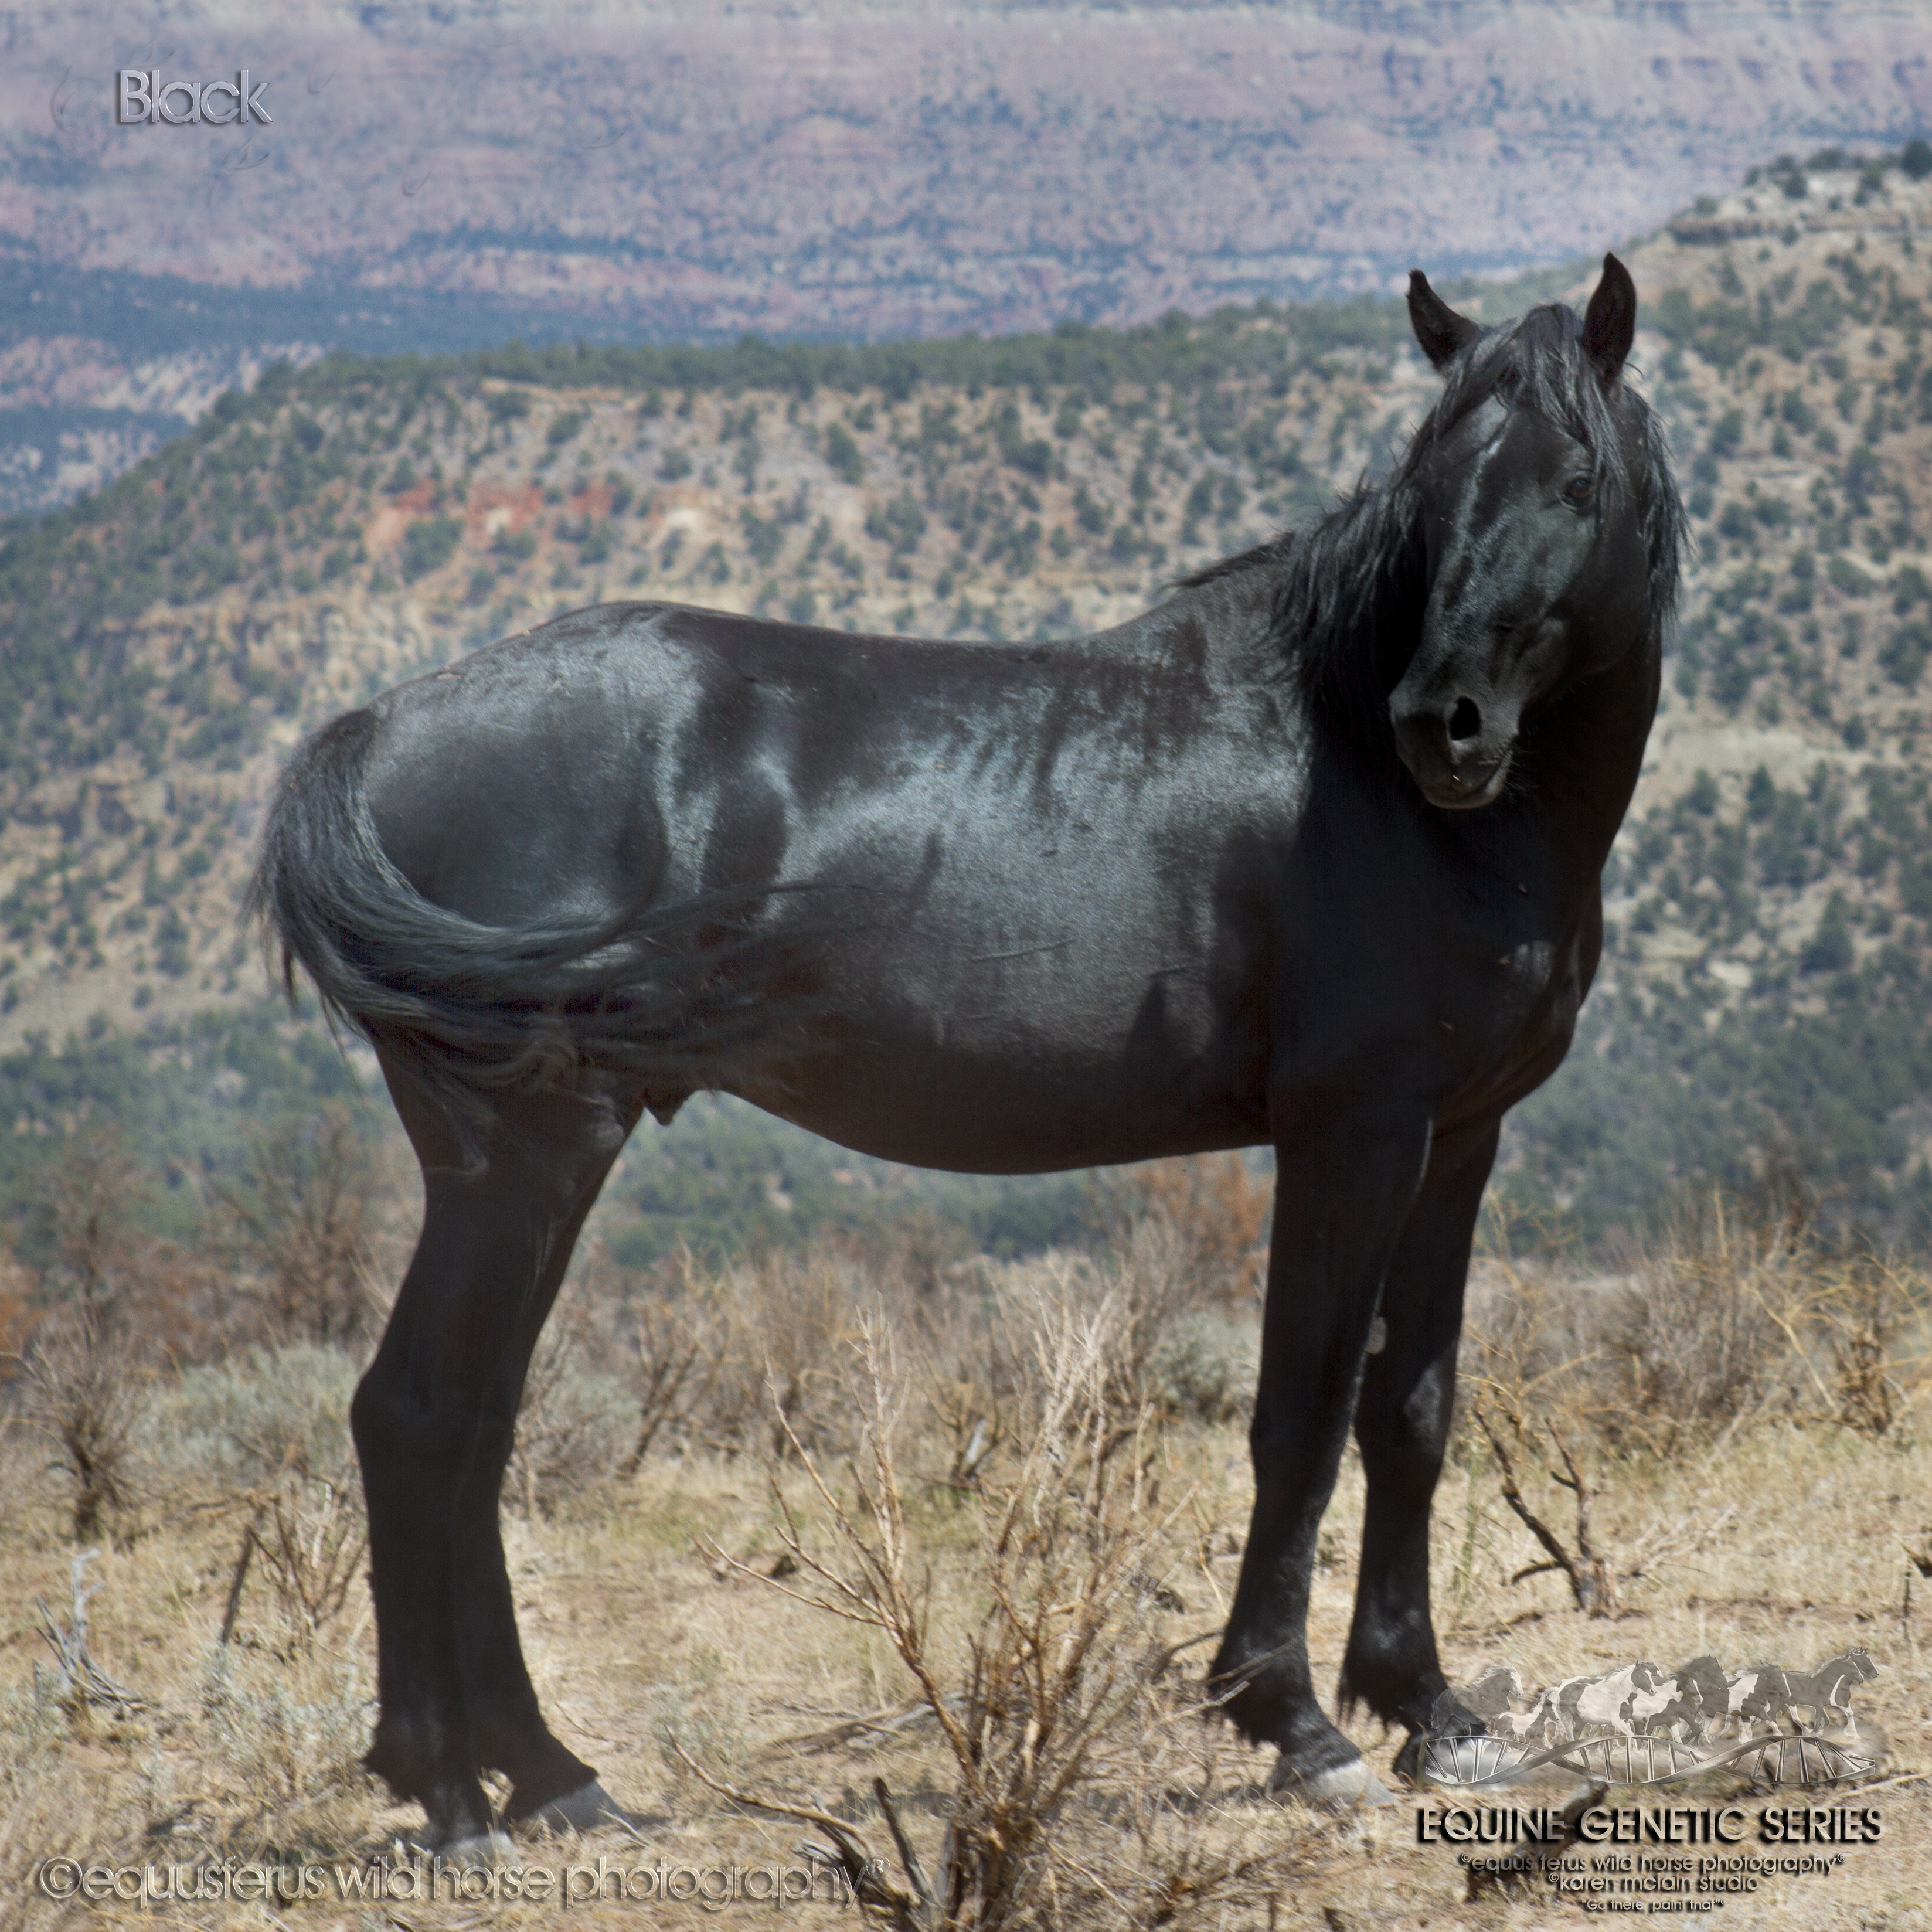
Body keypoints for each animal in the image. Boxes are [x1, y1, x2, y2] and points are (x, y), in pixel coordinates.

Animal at [248, 255, 1680, 1851]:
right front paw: (1293, 1719)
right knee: (423, 1417)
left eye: (1572, 478)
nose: (1444, 724)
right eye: (1432, 485)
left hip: (529, 1164)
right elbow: (1300, 1410)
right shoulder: (1350, 1132)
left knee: (466, 1423)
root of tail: (378, 729)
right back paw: (454, 1787)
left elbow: (1409, 1410)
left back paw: (549, 1774)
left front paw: (1429, 1707)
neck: (1372, 788)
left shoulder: (1457, 1137)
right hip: (525, 1156)